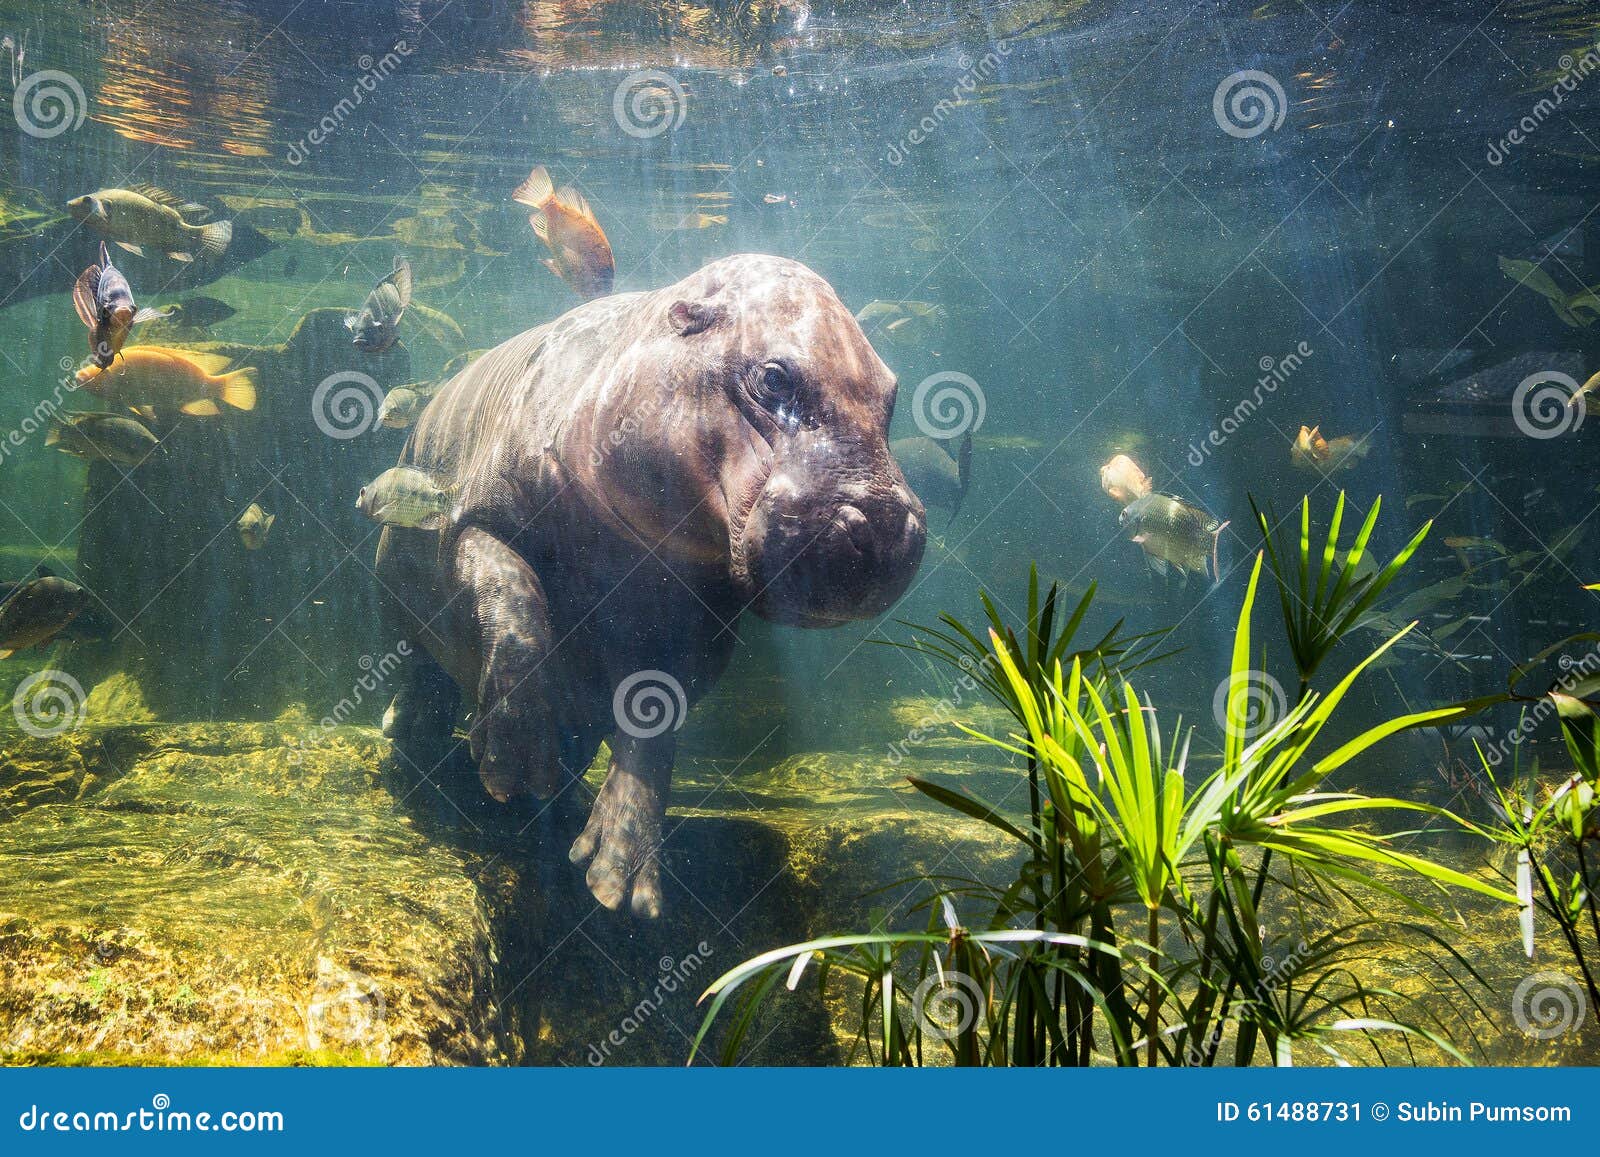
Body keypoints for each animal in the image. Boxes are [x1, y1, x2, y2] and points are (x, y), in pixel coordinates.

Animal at [375, 254, 927, 917]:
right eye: (773, 378)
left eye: (891, 393)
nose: (883, 526)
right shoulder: (467, 519)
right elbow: (515, 596)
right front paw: (512, 767)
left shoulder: (704, 619)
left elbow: (658, 713)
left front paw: (619, 882)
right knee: (421, 665)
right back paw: (409, 736)